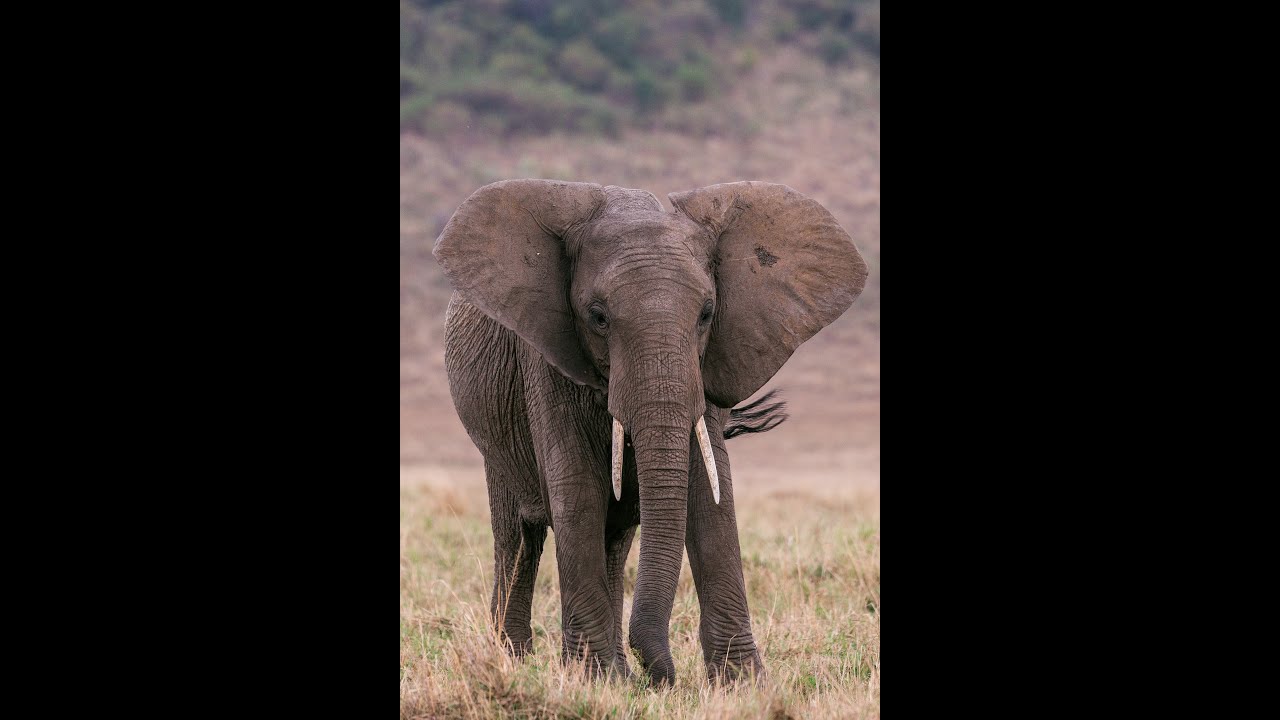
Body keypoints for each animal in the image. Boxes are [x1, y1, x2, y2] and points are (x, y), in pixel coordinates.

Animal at [432, 179, 868, 686]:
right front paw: (592, 680)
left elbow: (711, 494)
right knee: (519, 536)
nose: (660, 677)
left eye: (707, 314)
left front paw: (741, 683)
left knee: (613, 540)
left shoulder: (709, 363)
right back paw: (517, 663)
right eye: (597, 316)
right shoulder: (543, 358)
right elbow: (576, 490)